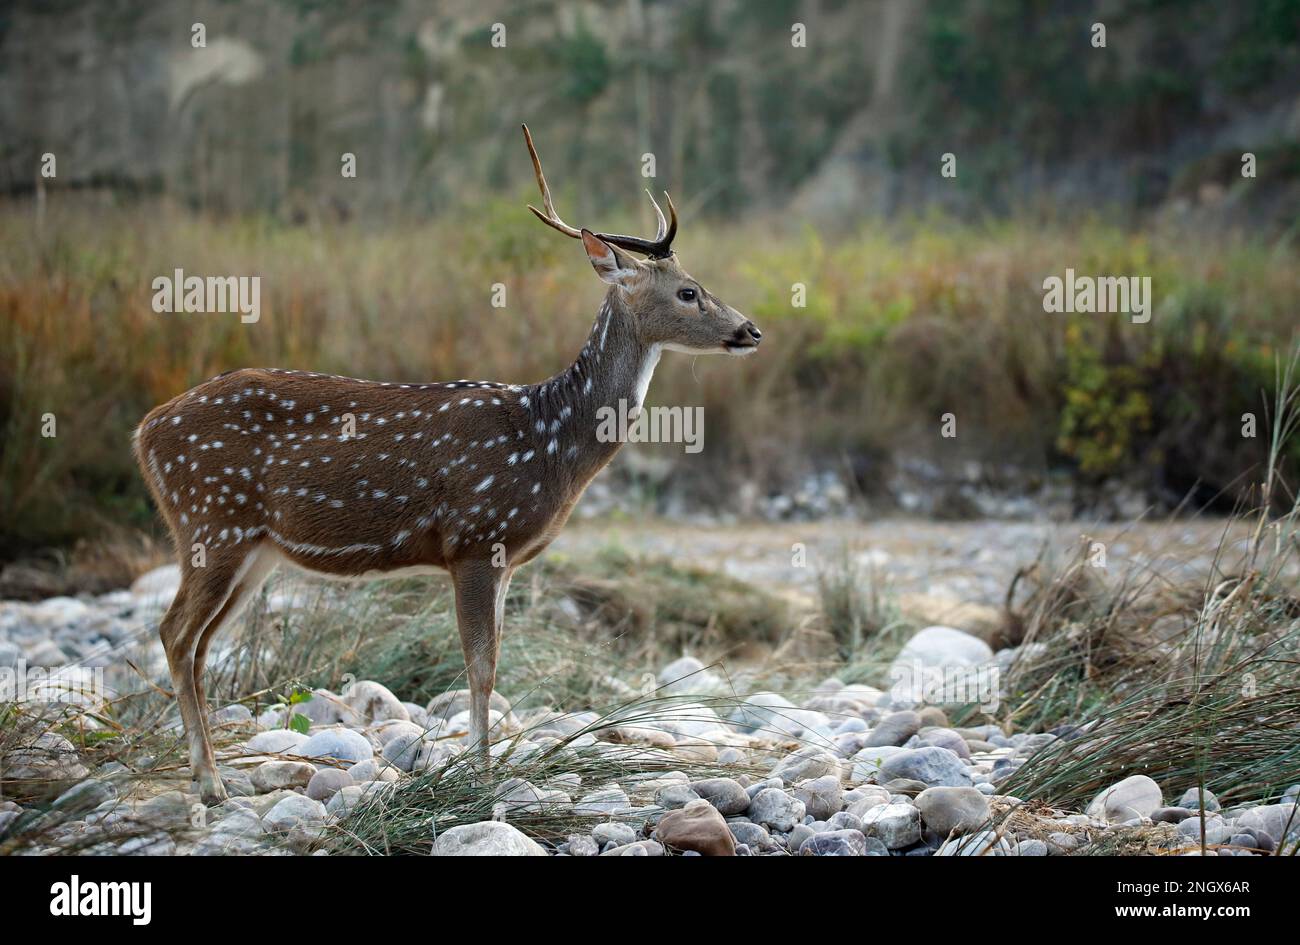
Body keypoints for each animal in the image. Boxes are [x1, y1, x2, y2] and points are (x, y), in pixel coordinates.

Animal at [133, 125, 763, 803]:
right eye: (688, 291)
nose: (751, 330)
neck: (549, 442)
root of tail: (144, 432)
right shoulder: (475, 537)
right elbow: (480, 667)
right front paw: (481, 775)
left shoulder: (506, 555)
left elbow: (493, 662)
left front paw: (489, 767)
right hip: (210, 517)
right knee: (175, 633)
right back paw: (210, 784)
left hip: (251, 548)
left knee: (197, 643)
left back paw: (210, 775)